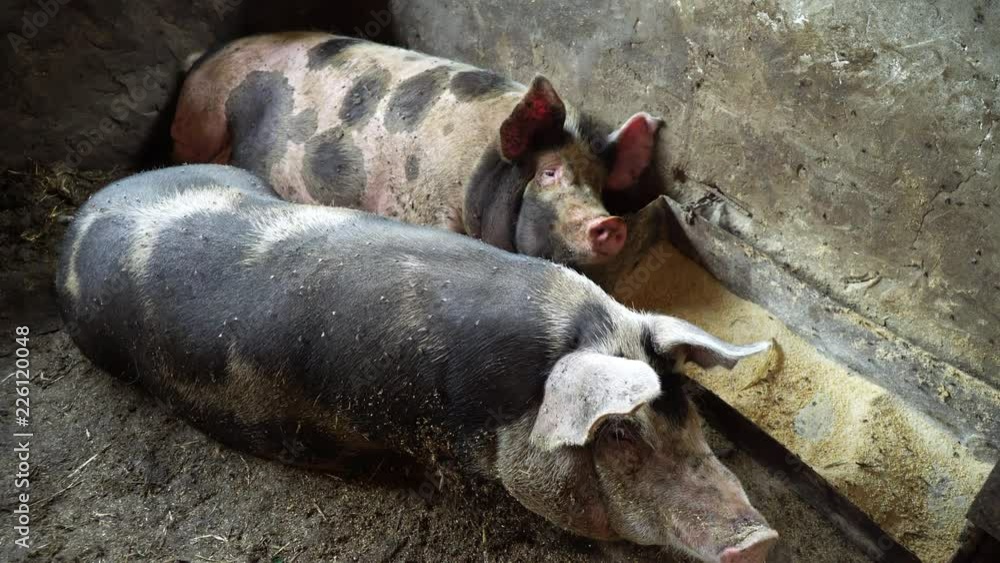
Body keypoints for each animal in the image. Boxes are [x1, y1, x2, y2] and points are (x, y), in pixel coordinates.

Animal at [171, 32, 663, 267]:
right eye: (549, 173)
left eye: (600, 186)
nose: (609, 223)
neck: (481, 171)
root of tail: (201, 60)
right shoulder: (424, 207)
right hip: (203, 122)